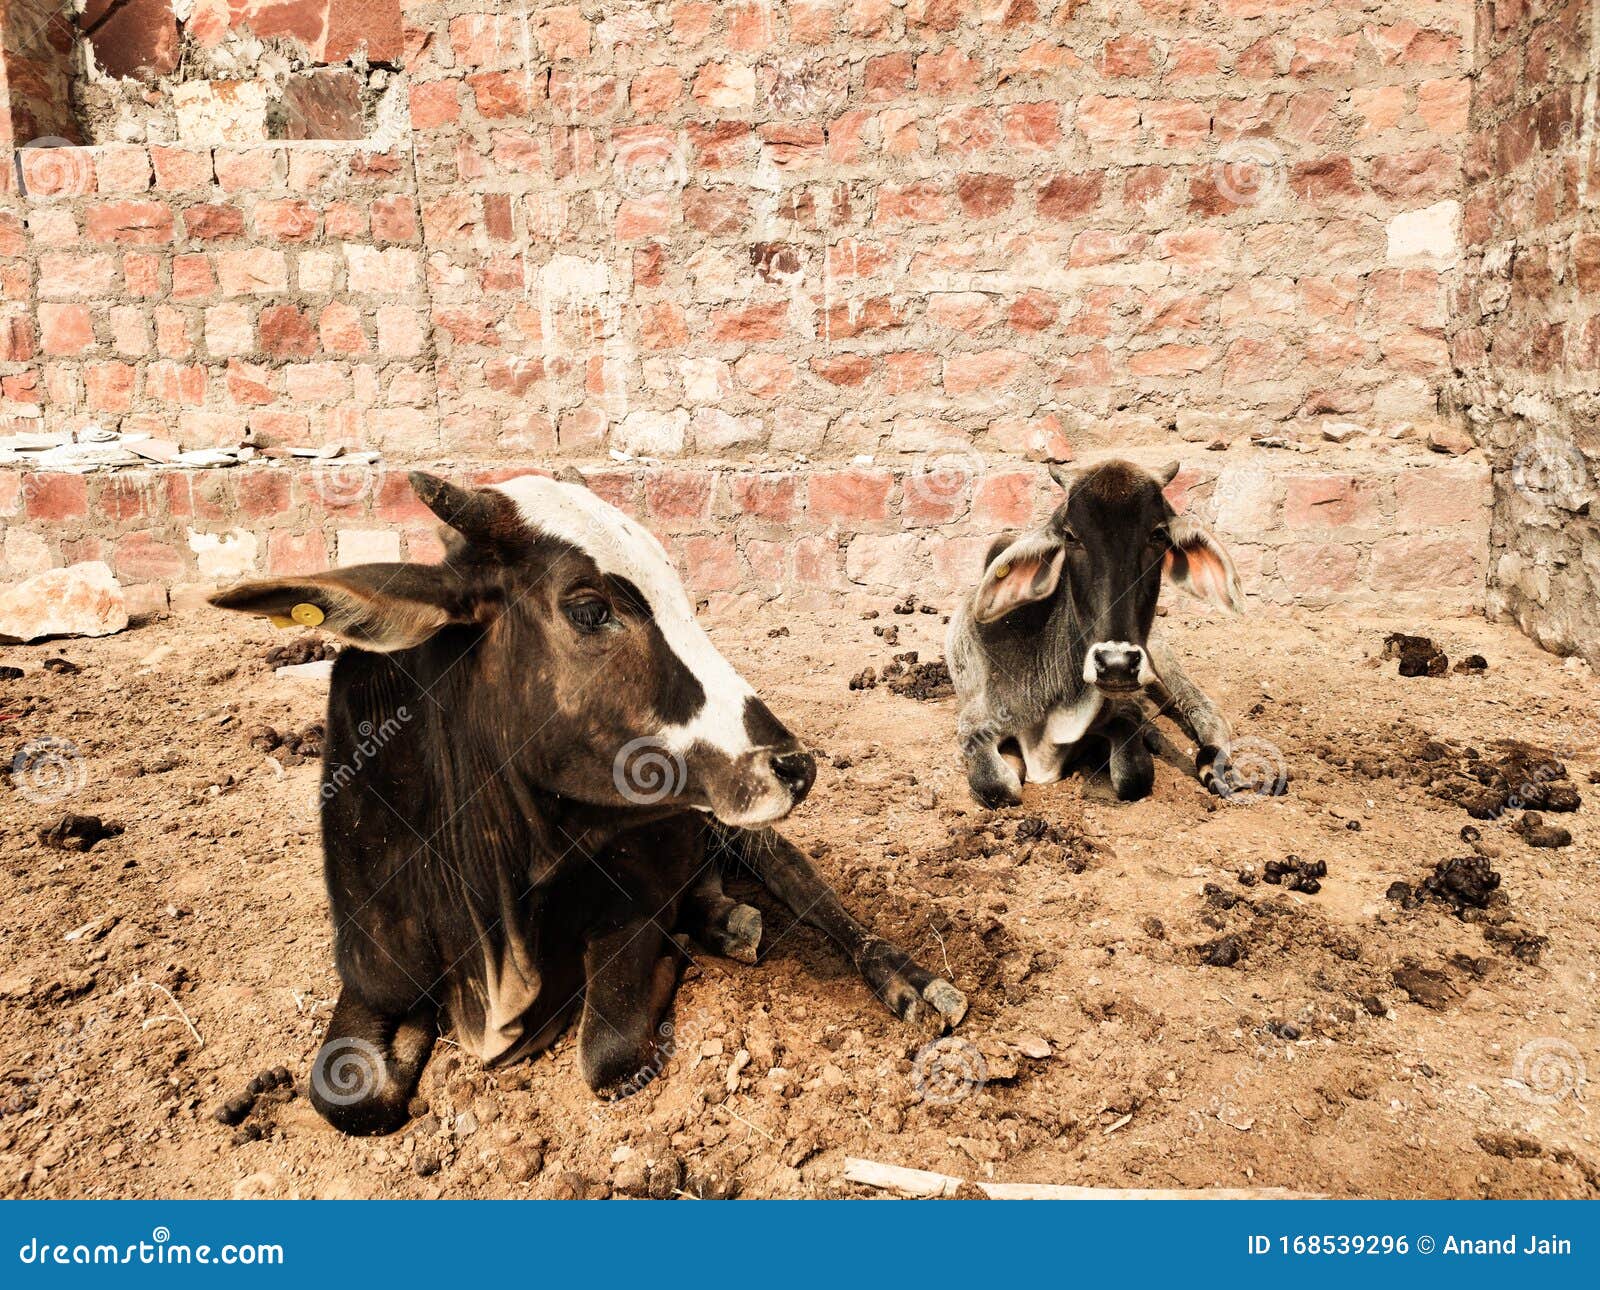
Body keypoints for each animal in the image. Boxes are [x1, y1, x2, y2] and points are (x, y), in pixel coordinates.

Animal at [210, 471, 966, 1136]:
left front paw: (677, 955)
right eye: (589, 609)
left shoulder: (636, 900)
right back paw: (727, 920)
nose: (794, 765)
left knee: (811, 891)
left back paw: (906, 979)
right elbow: (344, 1095)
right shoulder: (373, 973)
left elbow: (607, 1053)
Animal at [946, 458, 1281, 807]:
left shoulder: (1121, 714)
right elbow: (997, 785)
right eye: (1070, 535)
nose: (1116, 664)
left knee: (1207, 711)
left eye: (1158, 533)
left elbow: (1134, 773)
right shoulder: (975, 722)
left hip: (1156, 648)